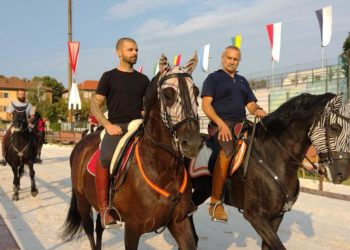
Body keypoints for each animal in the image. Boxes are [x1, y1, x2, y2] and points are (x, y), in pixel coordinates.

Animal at [60, 53, 202, 250]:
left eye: (196, 92)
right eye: (168, 95)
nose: (193, 142)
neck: (161, 169)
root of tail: (81, 144)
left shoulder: (180, 222)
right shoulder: (133, 228)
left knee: (99, 227)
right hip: (82, 202)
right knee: (89, 230)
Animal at [190, 93, 350, 249]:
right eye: (335, 127)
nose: (342, 173)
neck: (274, 158)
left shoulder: (277, 215)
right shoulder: (255, 216)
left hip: (202, 191)